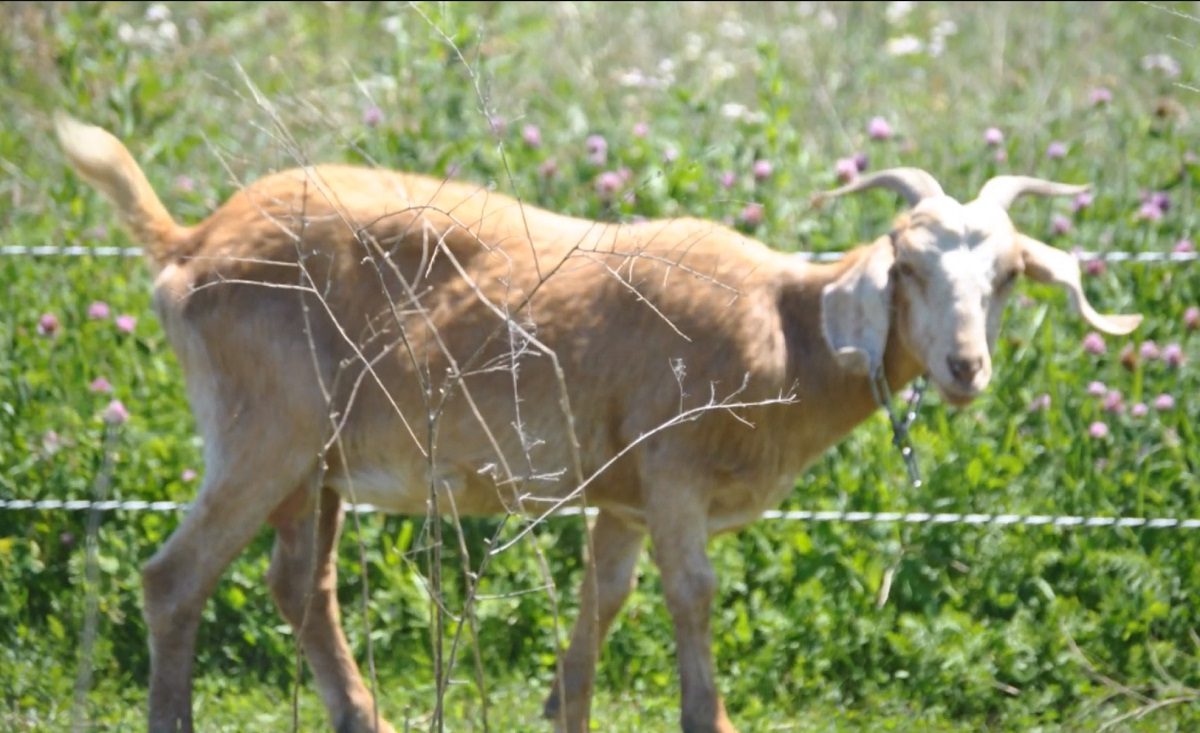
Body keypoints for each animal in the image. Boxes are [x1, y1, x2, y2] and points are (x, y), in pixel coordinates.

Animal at [55, 114, 1140, 733]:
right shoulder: (673, 474)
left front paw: (562, 703)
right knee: (173, 579)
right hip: (262, 428)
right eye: (907, 265)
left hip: (311, 461)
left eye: (1008, 276)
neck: (785, 329)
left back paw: (364, 719)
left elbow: (601, 608)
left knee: (299, 585)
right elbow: (692, 596)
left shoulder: (620, 498)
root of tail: (190, 240)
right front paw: (710, 717)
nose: (965, 367)